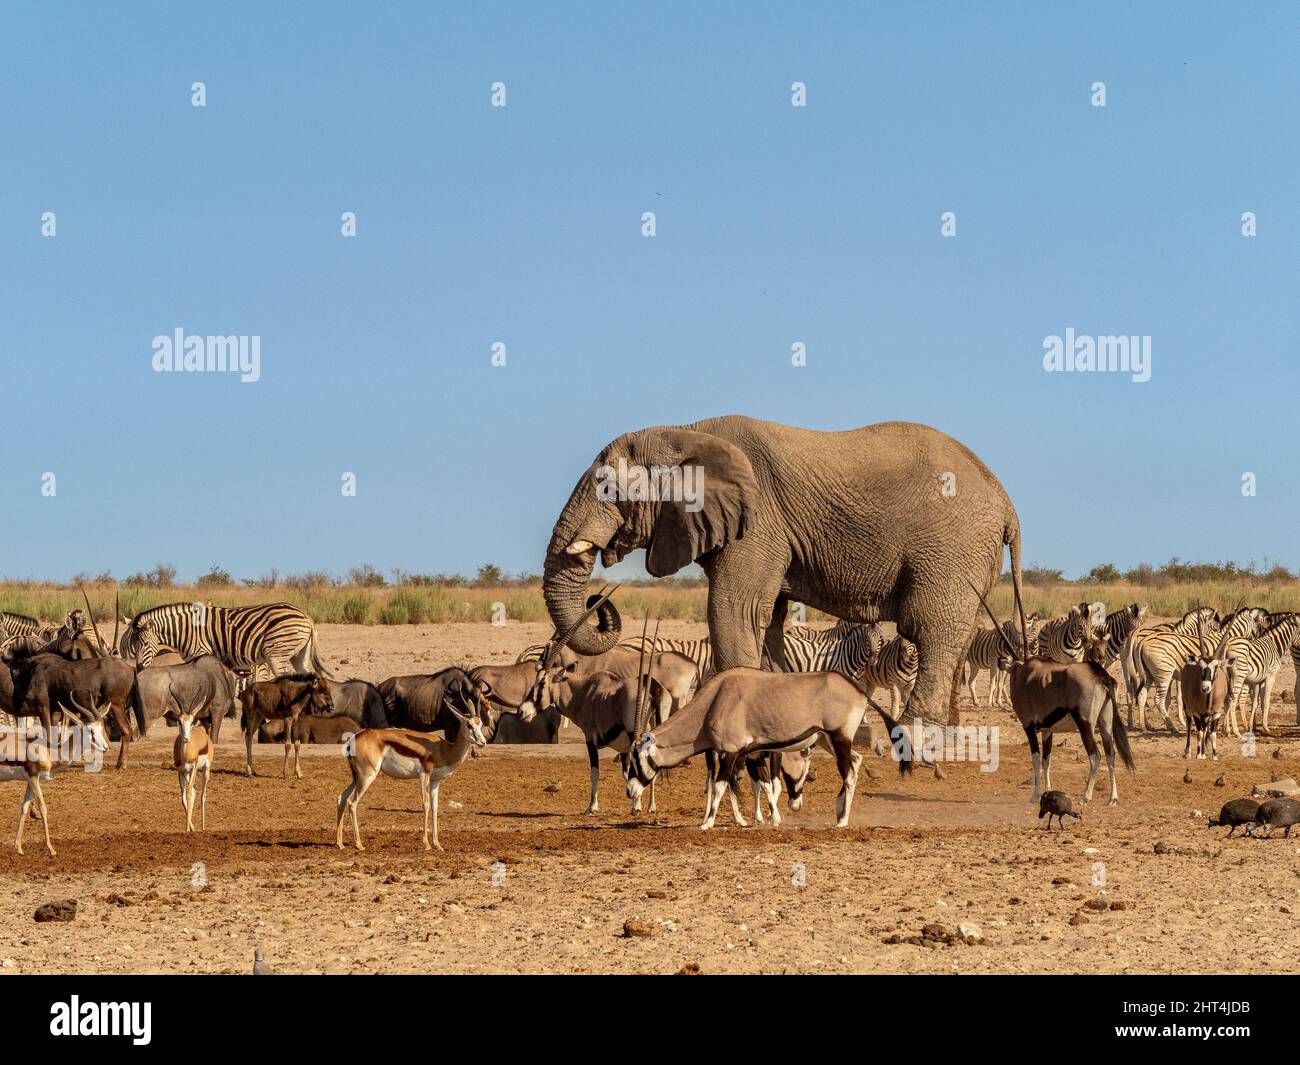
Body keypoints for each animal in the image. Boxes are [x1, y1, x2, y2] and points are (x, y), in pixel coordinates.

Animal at [119, 601, 330, 679]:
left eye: (145, 644)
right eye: (133, 645)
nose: (138, 667)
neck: (186, 629)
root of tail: (306, 616)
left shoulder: (201, 653)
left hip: (276, 653)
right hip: (299, 655)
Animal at [542, 415, 1027, 724]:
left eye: (609, 488)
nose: (599, 599)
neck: (685, 431)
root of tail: (1007, 503)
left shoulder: (758, 522)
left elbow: (734, 609)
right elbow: (770, 618)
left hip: (952, 547)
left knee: (931, 628)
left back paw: (917, 733)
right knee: (956, 632)